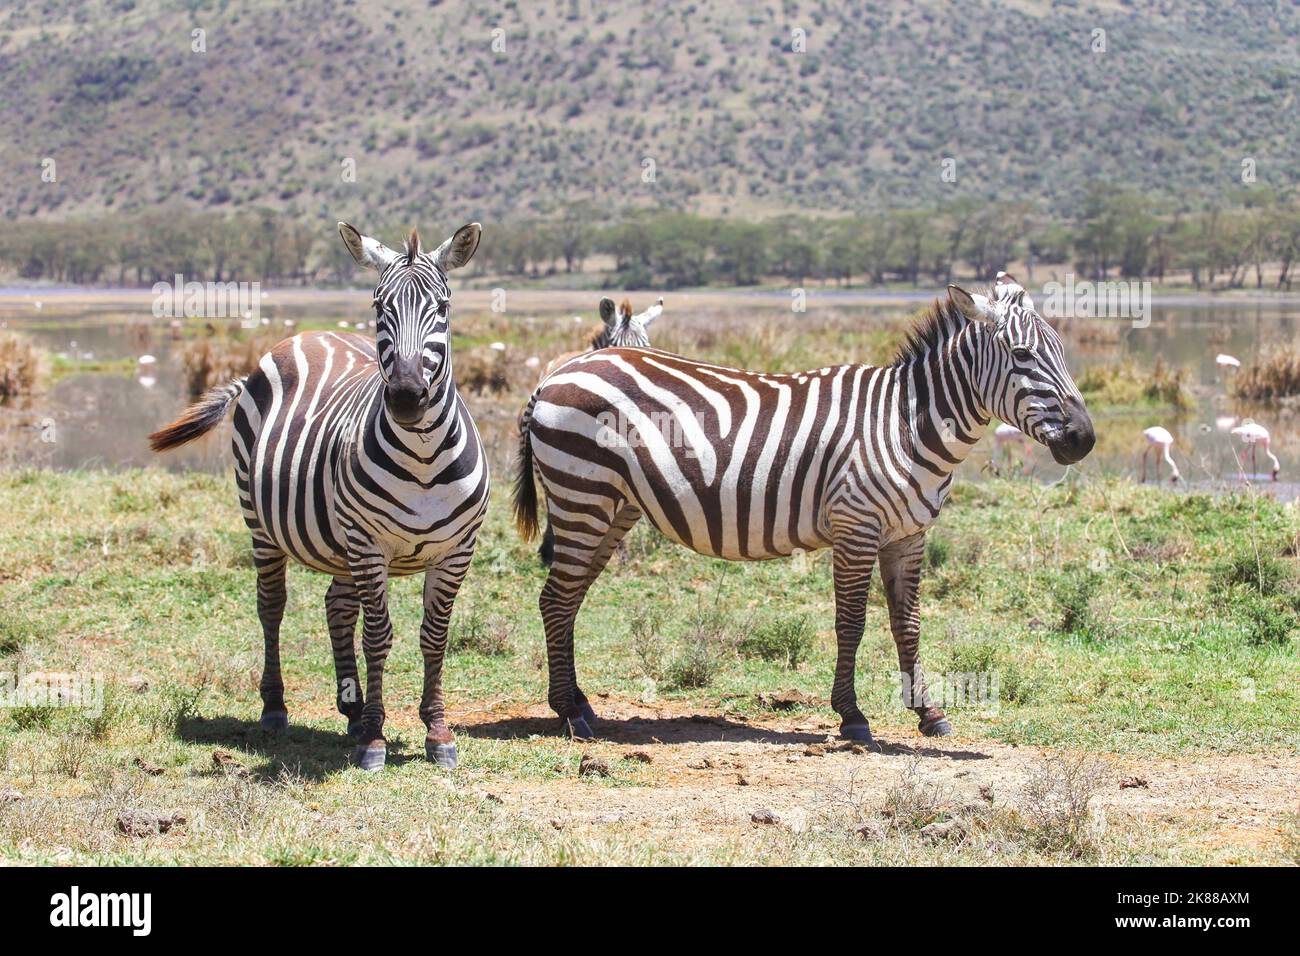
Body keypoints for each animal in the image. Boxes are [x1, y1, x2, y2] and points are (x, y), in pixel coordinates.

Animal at [149, 222, 488, 771]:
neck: (423, 457)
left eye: (442, 307)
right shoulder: (369, 545)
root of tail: (307, 335)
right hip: (262, 523)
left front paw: (436, 731)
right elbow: (378, 636)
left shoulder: (457, 550)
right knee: (272, 606)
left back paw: (350, 708)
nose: (406, 397)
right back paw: (276, 708)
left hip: (339, 540)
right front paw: (374, 738)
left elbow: (434, 636)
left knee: (336, 606)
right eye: (379, 306)